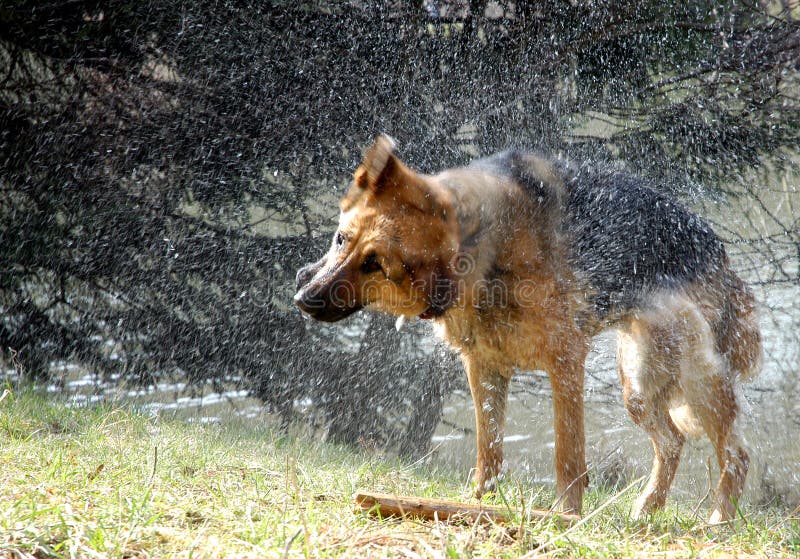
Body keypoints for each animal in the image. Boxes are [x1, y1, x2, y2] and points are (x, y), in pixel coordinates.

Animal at [294, 135, 762, 522]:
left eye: (375, 264)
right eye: (340, 239)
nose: (301, 298)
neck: (485, 250)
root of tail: (720, 255)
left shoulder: (565, 362)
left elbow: (568, 454)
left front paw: (567, 515)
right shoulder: (484, 368)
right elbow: (489, 450)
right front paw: (476, 506)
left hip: (692, 380)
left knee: (736, 454)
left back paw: (719, 523)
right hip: (638, 389)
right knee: (672, 443)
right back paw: (645, 510)